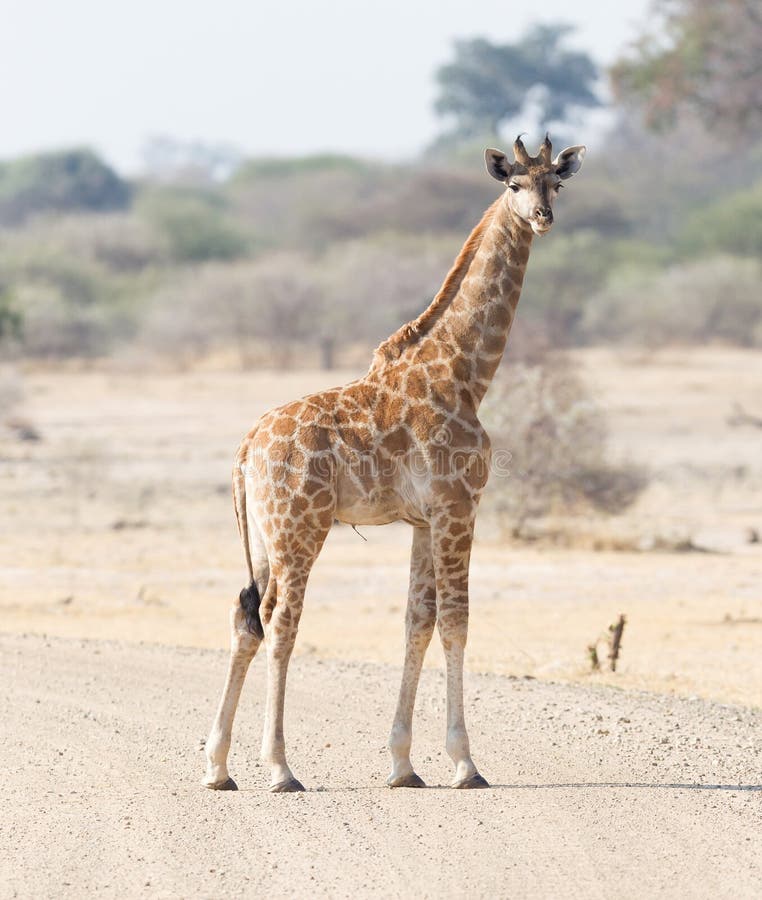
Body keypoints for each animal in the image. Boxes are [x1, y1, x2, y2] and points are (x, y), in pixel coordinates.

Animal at [203, 135, 586, 792]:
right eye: (514, 184)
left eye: (555, 183)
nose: (543, 217)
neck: (464, 375)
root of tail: (247, 446)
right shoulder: (459, 506)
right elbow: (456, 620)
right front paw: (465, 764)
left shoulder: (423, 519)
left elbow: (417, 622)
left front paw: (404, 764)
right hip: (299, 528)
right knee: (280, 622)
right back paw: (279, 769)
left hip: (263, 534)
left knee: (244, 615)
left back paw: (218, 767)